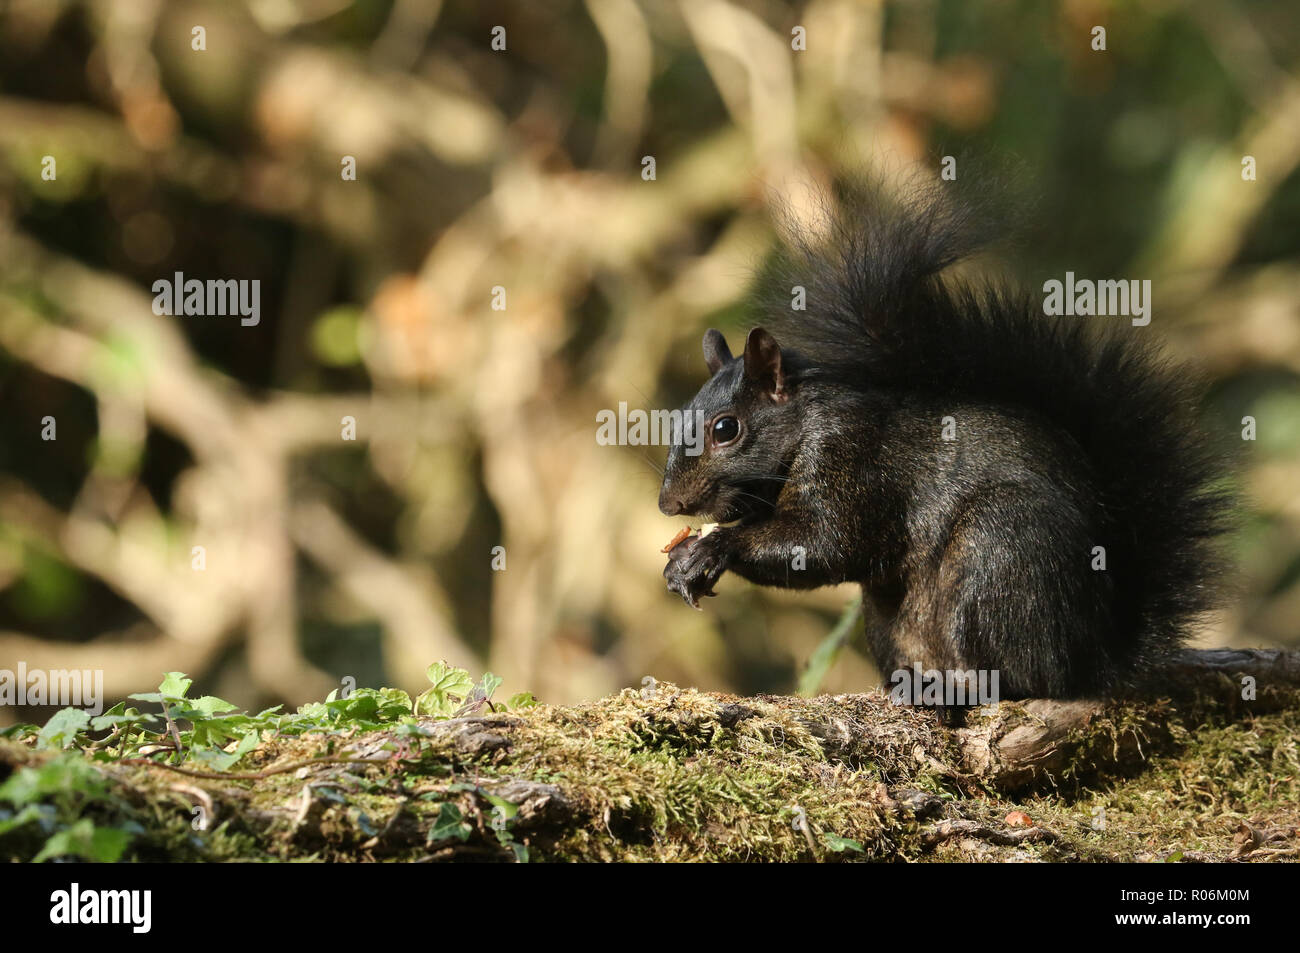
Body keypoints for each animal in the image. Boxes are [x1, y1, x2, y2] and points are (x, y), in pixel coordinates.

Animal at [657, 176, 1232, 700]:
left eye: (725, 429)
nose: (669, 505)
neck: (805, 425)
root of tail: (1096, 660)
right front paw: (685, 560)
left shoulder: (852, 458)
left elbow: (827, 544)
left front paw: (713, 548)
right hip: (889, 621)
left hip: (997, 554)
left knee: (1023, 679)